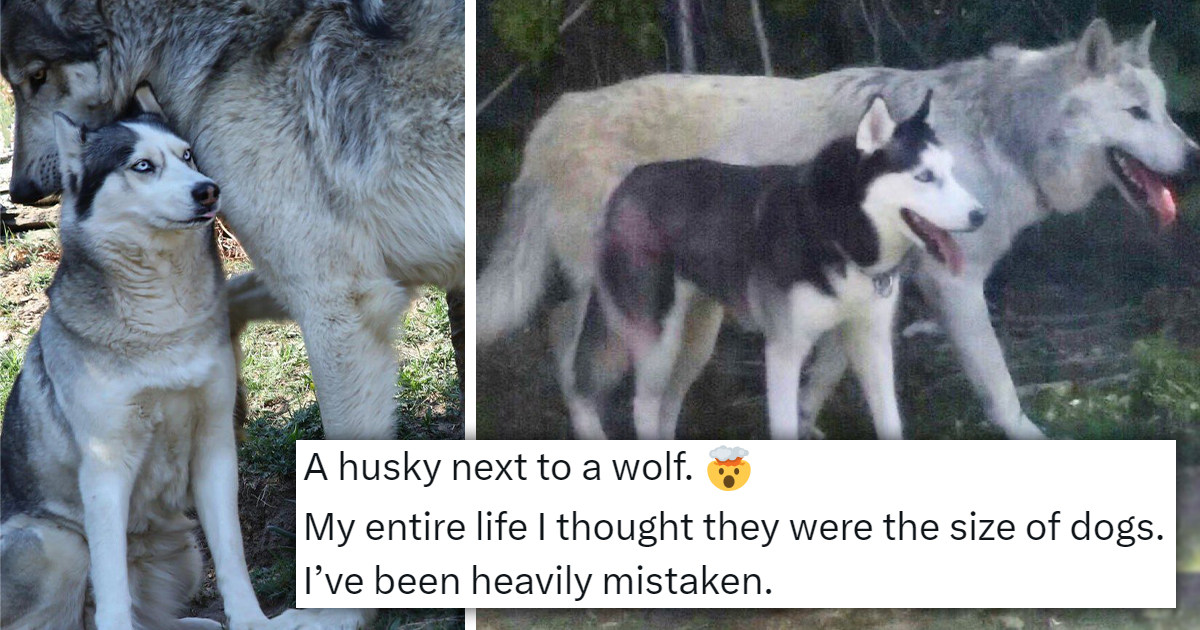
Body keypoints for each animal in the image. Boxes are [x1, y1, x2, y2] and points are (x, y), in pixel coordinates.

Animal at [0, 90, 267, 630]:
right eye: (143, 166)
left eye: (188, 156)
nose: (209, 191)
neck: (162, 324)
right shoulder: (105, 467)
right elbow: (113, 588)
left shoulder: (215, 444)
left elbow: (231, 554)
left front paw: (251, 621)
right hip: (59, 545)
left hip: (186, 555)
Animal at [570, 93, 984, 440]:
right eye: (924, 176)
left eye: (952, 171)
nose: (981, 216)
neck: (841, 234)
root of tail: (625, 185)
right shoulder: (784, 351)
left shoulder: (872, 342)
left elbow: (891, 423)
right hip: (657, 339)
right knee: (643, 406)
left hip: (696, 340)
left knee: (669, 402)